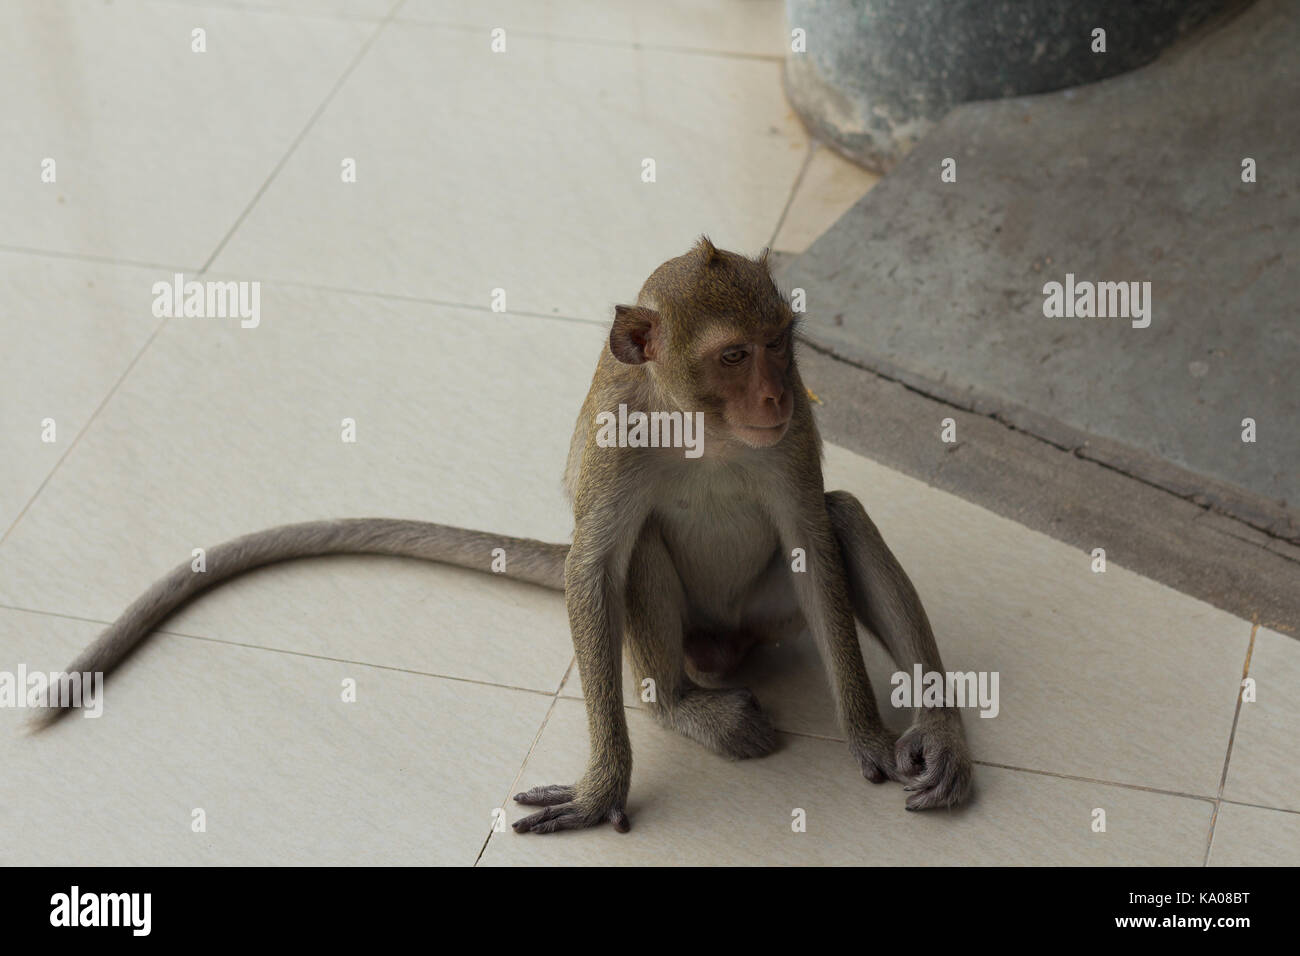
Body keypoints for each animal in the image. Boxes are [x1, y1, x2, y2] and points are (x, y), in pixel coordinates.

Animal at [34, 237, 973, 834]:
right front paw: (604, 786)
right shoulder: (618, 437)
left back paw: (942, 732)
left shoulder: (789, 445)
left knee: (843, 519)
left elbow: (813, 533)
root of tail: (725, 645)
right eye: (735, 356)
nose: (778, 395)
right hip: (700, 632)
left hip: (759, 614)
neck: (700, 425)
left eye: (781, 344)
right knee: (641, 554)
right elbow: (595, 567)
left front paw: (870, 733)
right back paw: (680, 706)